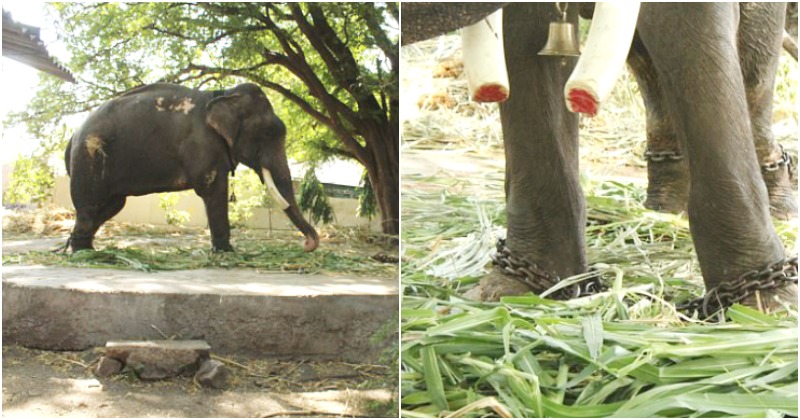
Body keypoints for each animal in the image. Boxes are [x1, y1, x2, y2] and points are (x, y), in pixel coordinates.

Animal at [64, 82, 319, 253]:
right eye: (268, 133)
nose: (307, 245)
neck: (224, 94)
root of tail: (73, 135)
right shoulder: (204, 144)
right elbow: (213, 190)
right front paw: (226, 253)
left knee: (111, 205)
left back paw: (83, 248)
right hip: (89, 158)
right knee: (90, 207)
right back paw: (83, 253)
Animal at [402, 3, 797, 314]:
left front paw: (766, 308)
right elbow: (528, 30)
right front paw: (512, 292)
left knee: (754, 66)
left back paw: (778, 210)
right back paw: (663, 209)